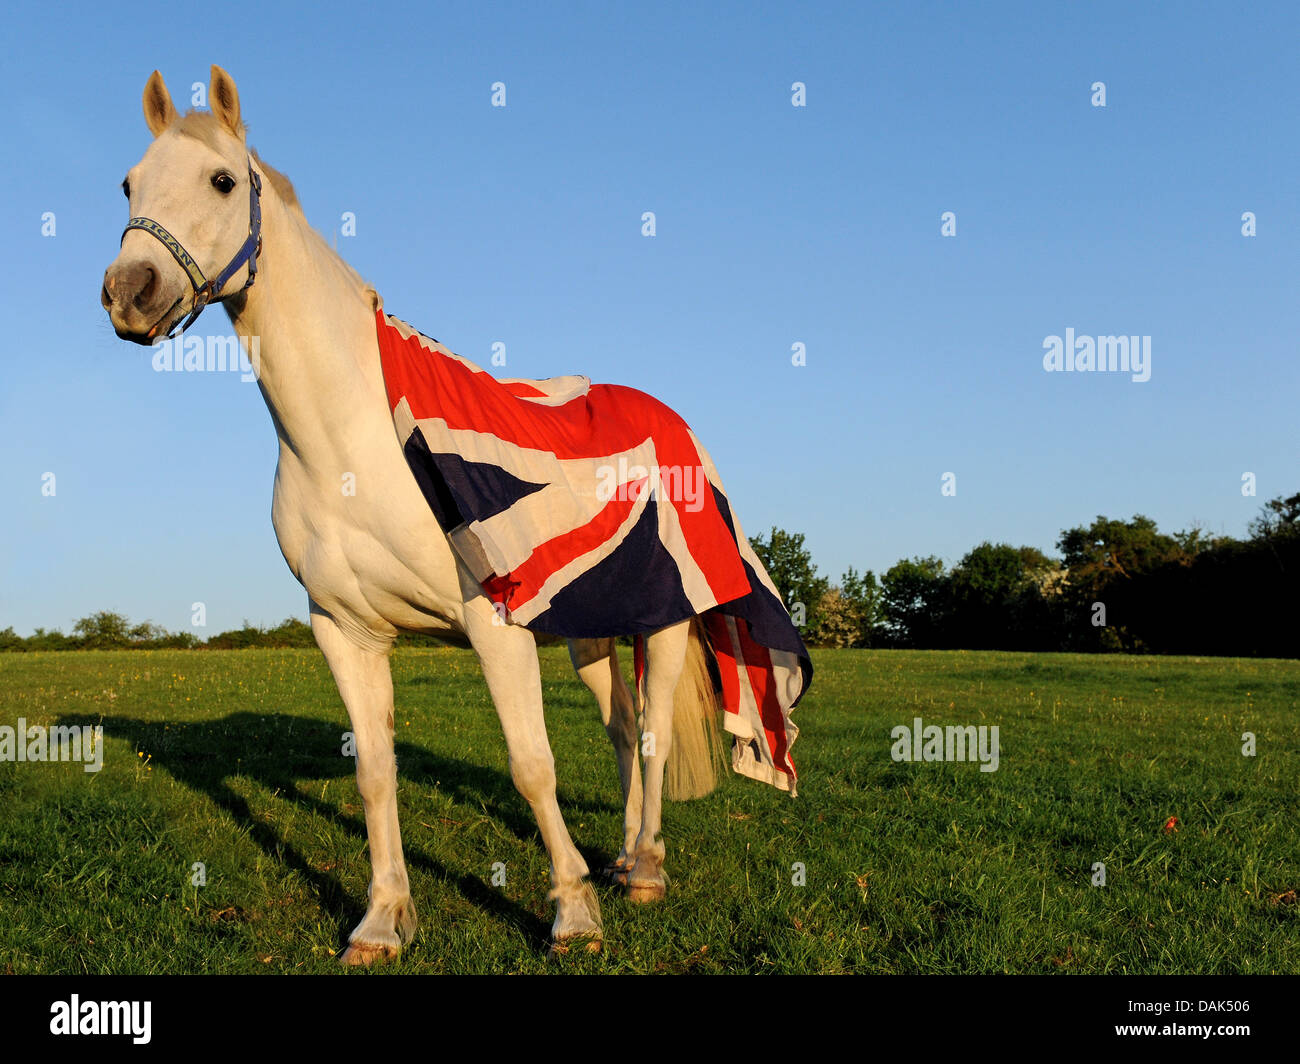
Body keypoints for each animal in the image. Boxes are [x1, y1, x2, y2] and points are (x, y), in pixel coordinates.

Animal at [101, 66, 806, 964]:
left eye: (223, 181)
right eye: (129, 184)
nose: (129, 293)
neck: (351, 439)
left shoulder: (495, 626)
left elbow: (531, 765)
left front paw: (573, 915)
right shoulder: (344, 630)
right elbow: (374, 773)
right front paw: (382, 921)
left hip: (669, 620)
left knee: (648, 735)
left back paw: (644, 870)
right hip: (587, 629)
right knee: (618, 728)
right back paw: (618, 857)